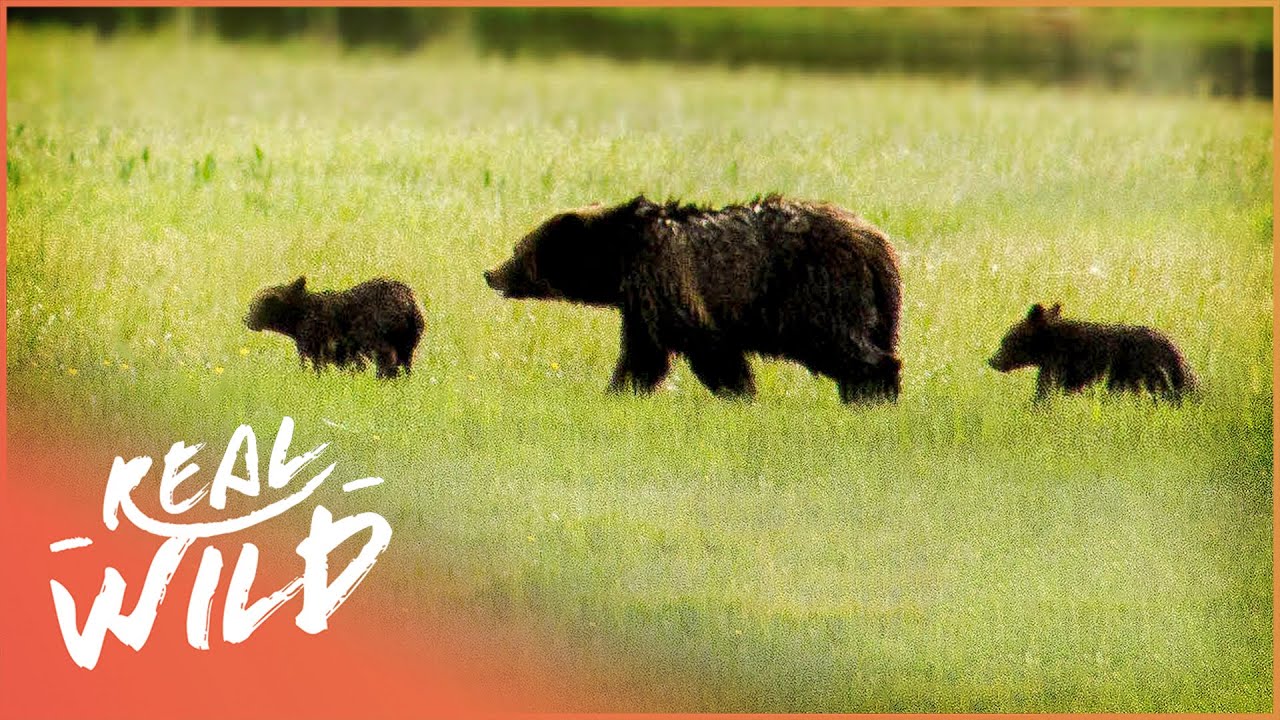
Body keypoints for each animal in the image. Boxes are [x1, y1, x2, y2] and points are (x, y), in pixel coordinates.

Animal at [244, 276, 424, 379]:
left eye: (255, 305)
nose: (246, 319)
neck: (294, 322)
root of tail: (408, 303)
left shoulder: (316, 340)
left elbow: (317, 365)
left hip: (380, 335)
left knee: (386, 360)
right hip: (409, 338)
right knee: (405, 361)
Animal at [483, 194, 903, 403]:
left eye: (518, 250)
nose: (491, 273)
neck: (618, 258)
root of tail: (877, 243)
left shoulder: (667, 279)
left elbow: (705, 344)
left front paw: (740, 393)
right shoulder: (641, 303)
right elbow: (643, 355)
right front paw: (618, 392)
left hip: (819, 290)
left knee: (844, 344)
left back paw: (873, 395)